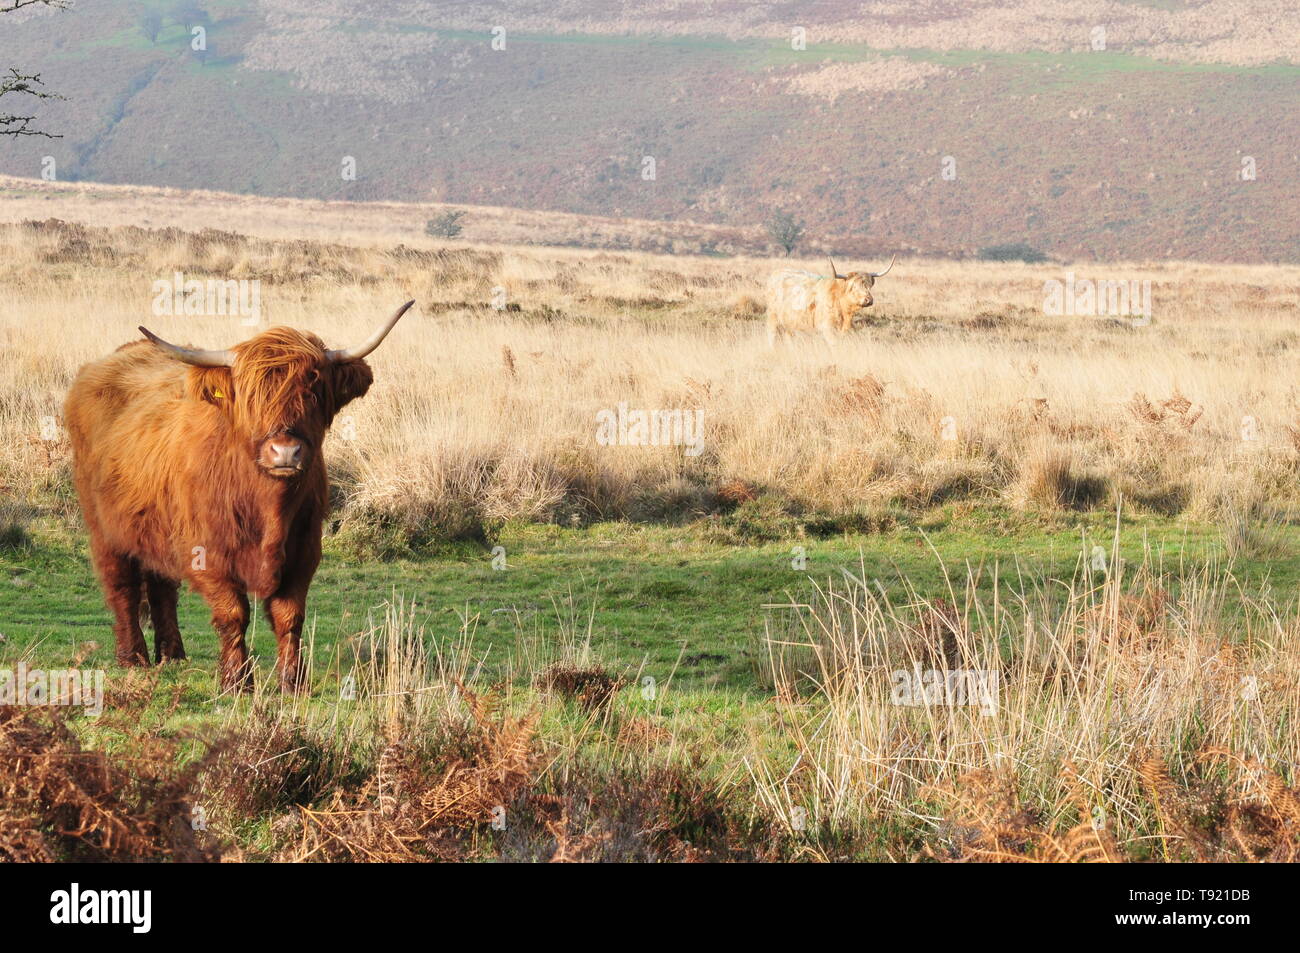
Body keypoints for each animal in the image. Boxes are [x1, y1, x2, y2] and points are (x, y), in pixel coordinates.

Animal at [63, 301, 414, 694]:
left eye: (314, 390)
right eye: (251, 396)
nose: (285, 452)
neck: (268, 508)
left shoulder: (304, 552)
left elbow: (289, 615)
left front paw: (293, 681)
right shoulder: (208, 553)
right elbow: (233, 614)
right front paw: (236, 681)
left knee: (162, 586)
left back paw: (172, 654)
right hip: (104, 530)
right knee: (121, 587)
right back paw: (133, 658)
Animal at [765, 255, 895, 347]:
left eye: (869, 286)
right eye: (853, 287)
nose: (869, 300)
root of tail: (777, 273)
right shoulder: (827, 328)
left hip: (789, 322)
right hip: (773, 318)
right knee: (772, 336)